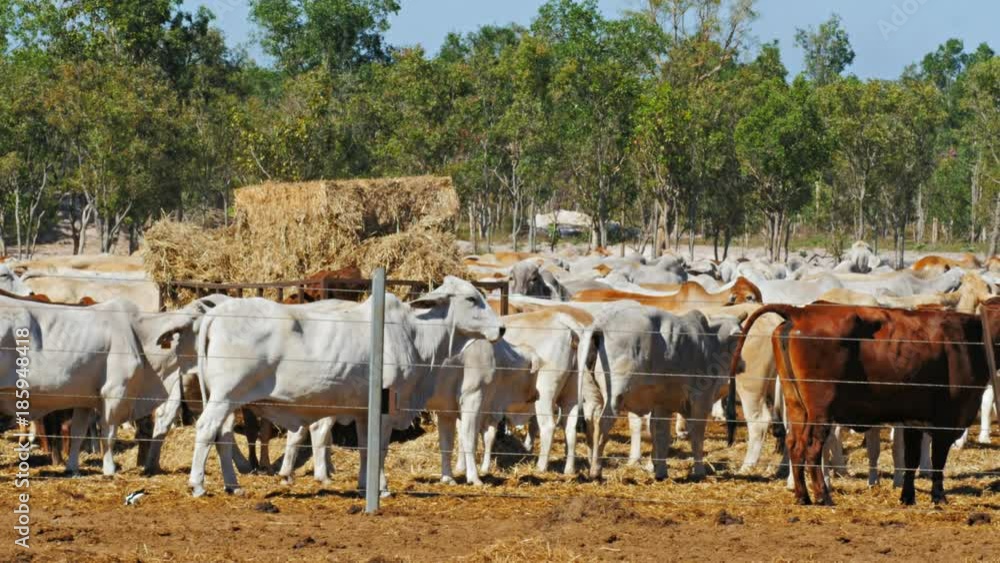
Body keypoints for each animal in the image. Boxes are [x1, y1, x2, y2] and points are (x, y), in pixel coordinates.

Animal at [190, 276, 504, 497]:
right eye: (471, 298)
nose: (501, 328)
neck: (412, 334)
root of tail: (217, 313)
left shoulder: (364, 412)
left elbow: (367, 448)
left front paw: (366, 485)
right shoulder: (386, 408)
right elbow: (380, 449)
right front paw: (382, 488)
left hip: (228, 401)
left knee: (223, 436)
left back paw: (233, 485)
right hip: (225, 397)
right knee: (206, 429)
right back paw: (197, 485)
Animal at [577, 303, 742, 480]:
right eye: (739, 340)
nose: (742, 364)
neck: (710, 341)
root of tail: (601, 323)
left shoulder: (663, 405)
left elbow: (660, 435)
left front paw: (660, 470)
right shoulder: (701, 400)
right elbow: (697, 437)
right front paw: (699, 472)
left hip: (594, 394)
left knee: (590, 421)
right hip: (615, 396)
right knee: (602, 426)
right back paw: (596, 471)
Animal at [730, 303, 1000, 505]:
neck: (968, 341)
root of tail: (801, 312)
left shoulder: (914, 420)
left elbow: (911, 460)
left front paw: (908, 497)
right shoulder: (946, 419)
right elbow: (937, 462)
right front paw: (938, 497)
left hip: (796, 404)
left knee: (794, 445)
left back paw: (803, 496)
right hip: (820, 411)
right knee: (812, 448)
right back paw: (822, 495)